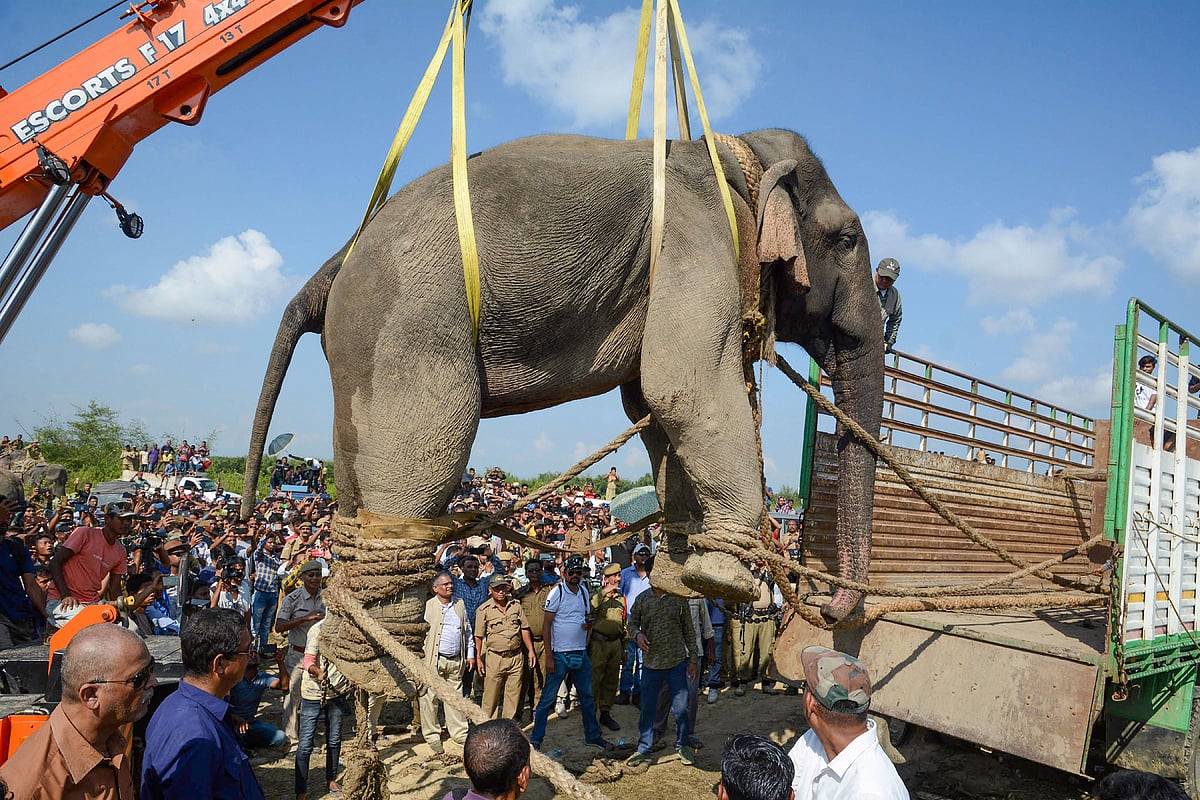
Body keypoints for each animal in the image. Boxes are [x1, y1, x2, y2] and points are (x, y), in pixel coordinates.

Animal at [245, 129, 883, 624]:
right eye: (848, 238)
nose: (823, 604)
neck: (735, 150)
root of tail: (334, 264)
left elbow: (649, 407)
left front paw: (680, 571)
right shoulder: (698, 241)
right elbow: (684, 386)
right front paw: (726, 579)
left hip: (359, 359)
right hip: (410, 327)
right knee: (424, 467)